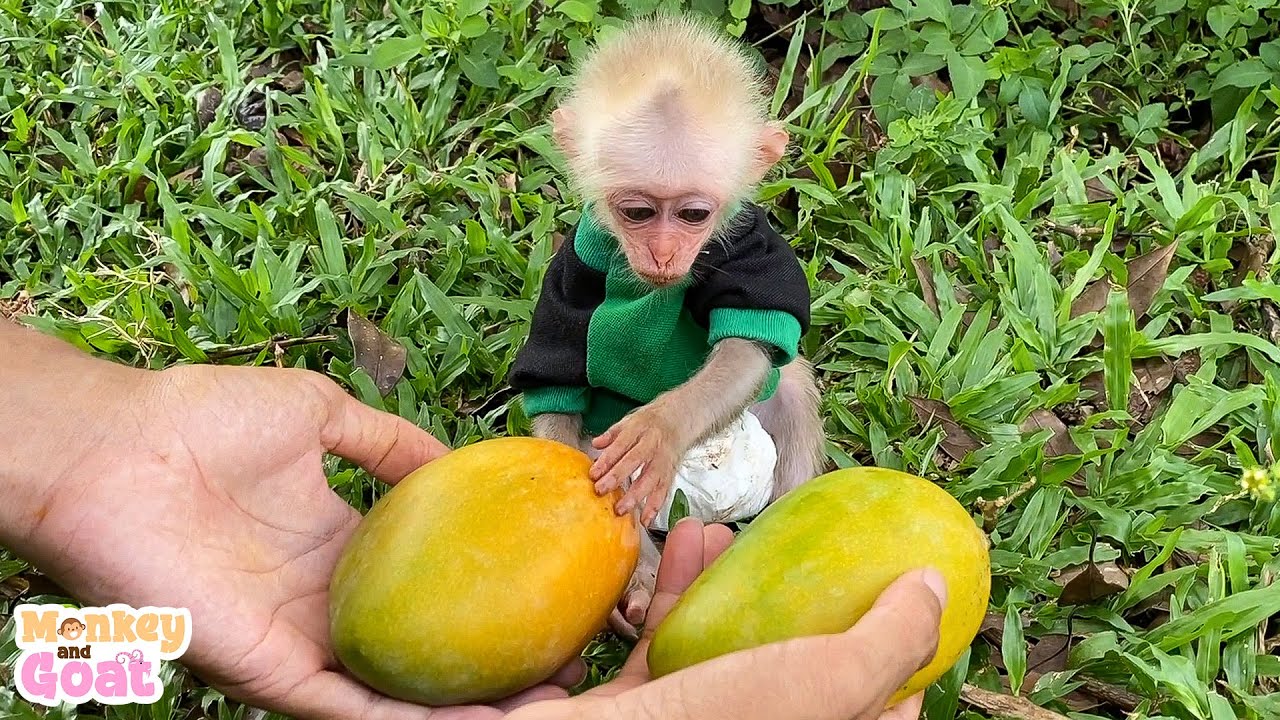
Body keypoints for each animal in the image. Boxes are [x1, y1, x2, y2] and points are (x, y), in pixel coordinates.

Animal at [508, 13, 826, 637]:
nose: (661, 255)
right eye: (637, 212)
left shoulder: (751, 245)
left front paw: (662, 427)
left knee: (792, 388)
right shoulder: (573, 268)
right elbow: (557, 390)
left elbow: (748, 346)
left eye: (694, 215)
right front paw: (639, 574)